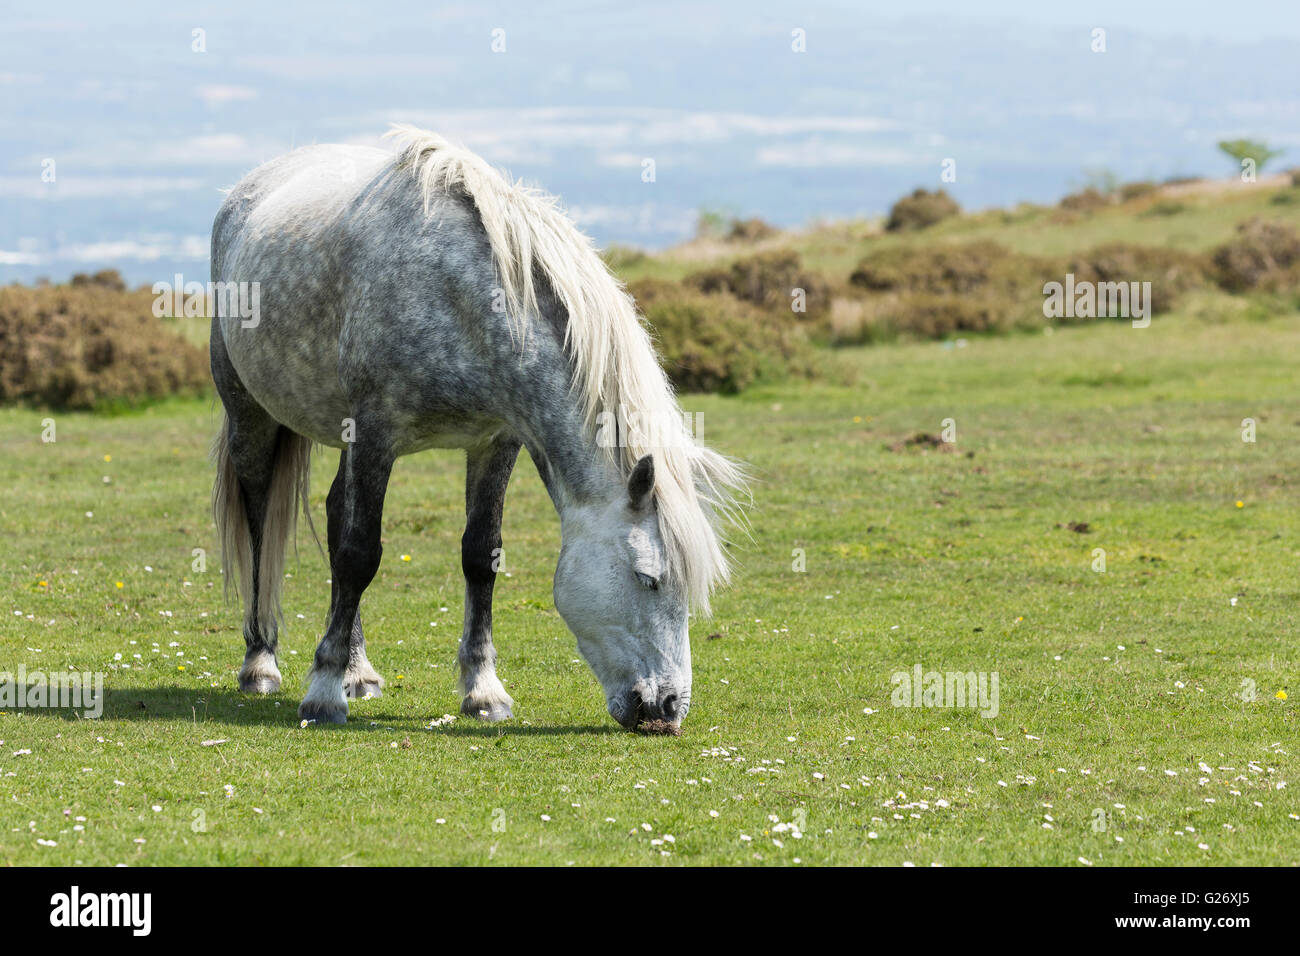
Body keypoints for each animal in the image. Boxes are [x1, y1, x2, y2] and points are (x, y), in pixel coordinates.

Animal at [209, 126, 747, 730]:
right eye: (648, 578)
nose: (668, 708)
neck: (461, 296)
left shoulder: (496, 440)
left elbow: (479, 554)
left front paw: (482, 689)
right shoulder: (375, 433)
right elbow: (359, 553)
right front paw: (322, 692)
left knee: (330, 510)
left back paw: (359, 671)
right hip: (249, 414)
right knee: (259, 516)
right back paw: (261, 662)